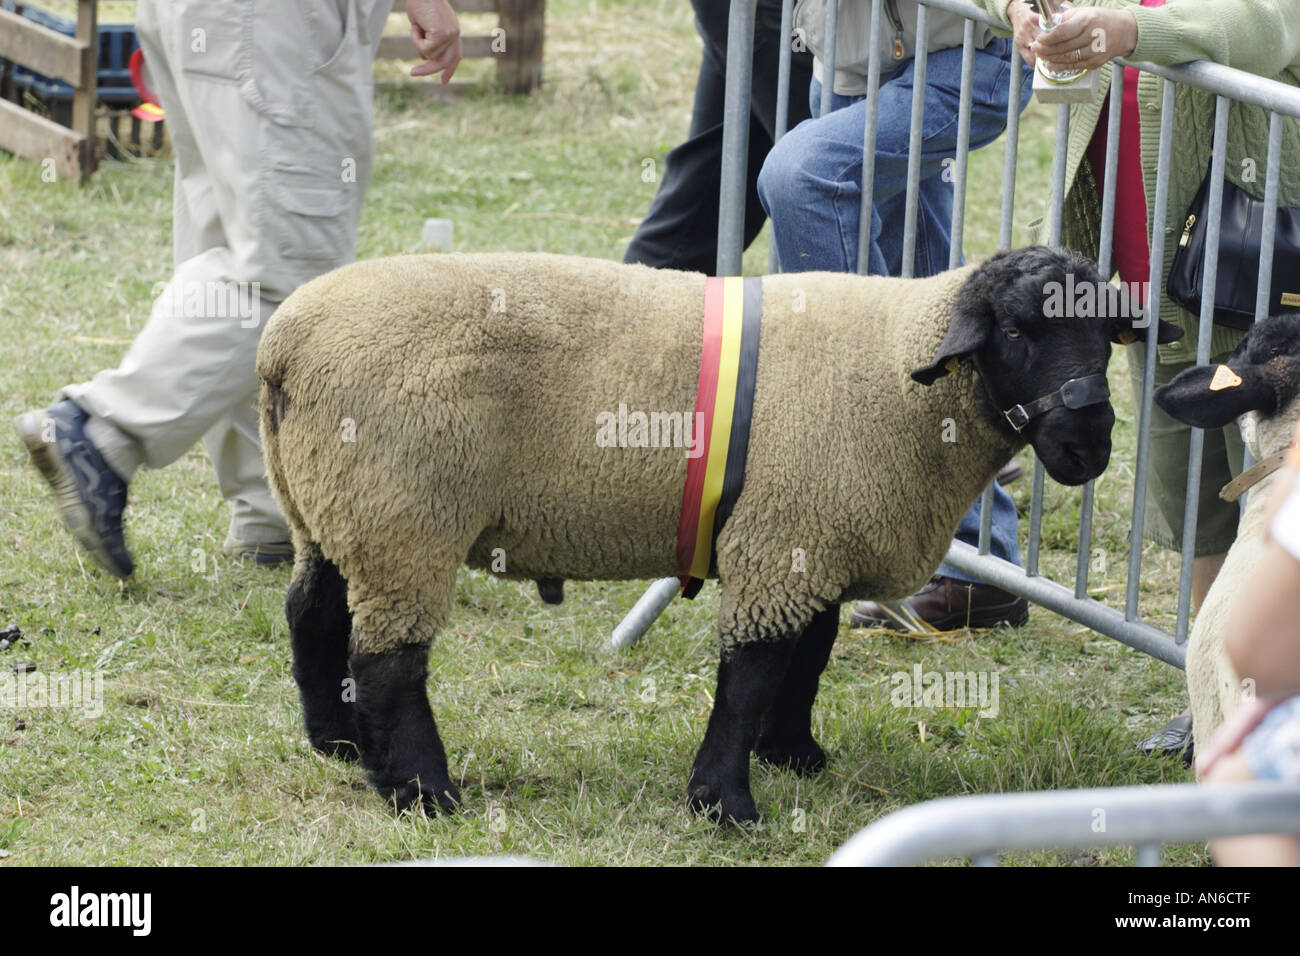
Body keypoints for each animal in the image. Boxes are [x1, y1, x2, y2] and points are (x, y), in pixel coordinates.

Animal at [256, 245, 1182, 823]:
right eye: (1019, 332)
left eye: (1106, 335)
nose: (1091, 442)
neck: (902, 373)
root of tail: (283, 345)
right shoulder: (780, 544)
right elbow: (749, 675)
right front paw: (724, 804)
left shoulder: (811, 539)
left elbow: (807, 659)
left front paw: (796, 754)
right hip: (403, 517)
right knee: (389, 660)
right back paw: (423, 791)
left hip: (331, 508)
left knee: (312, 614)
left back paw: (336, 743)